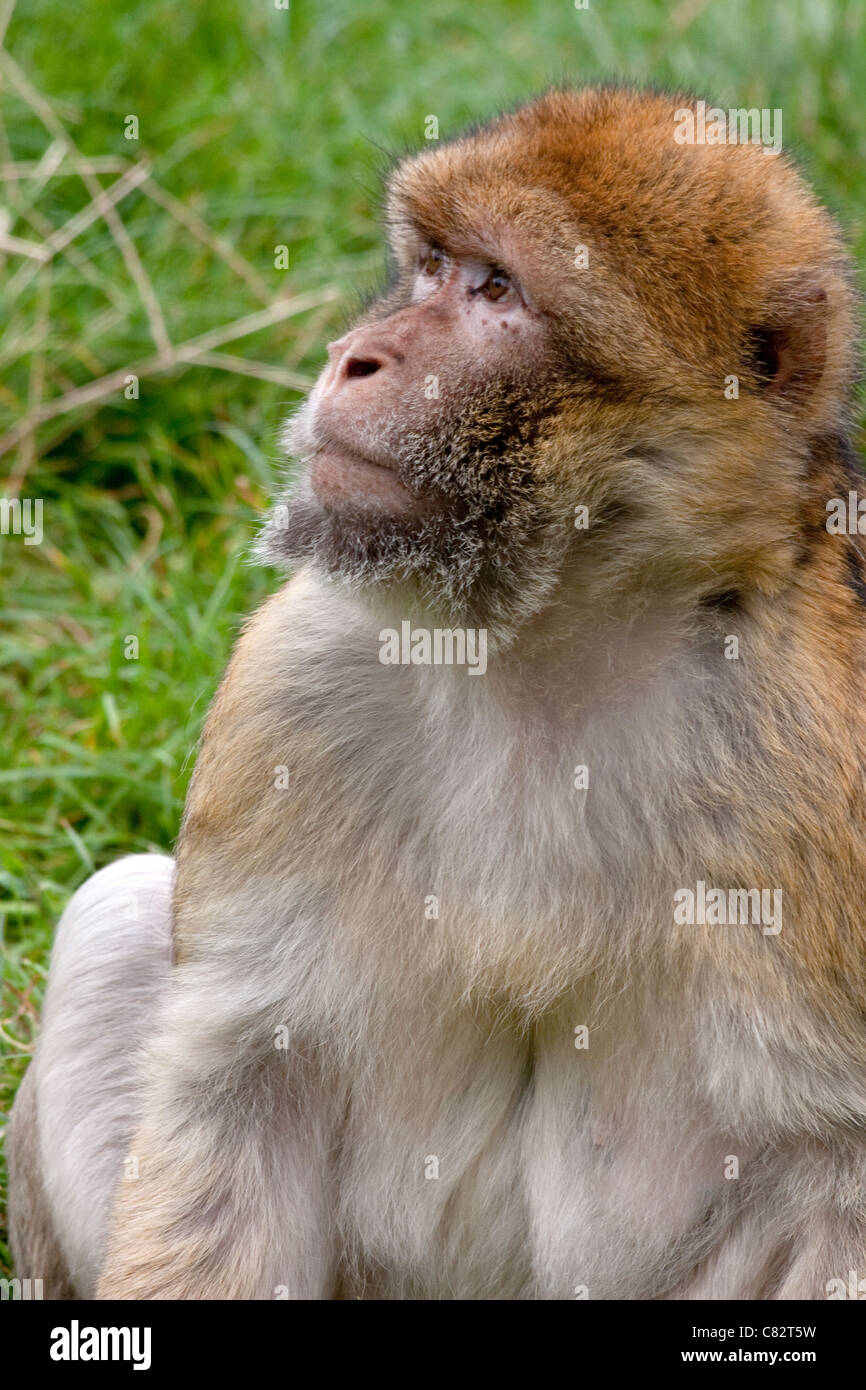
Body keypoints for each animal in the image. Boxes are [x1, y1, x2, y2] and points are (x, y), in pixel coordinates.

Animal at [8, 84, 866, 1300]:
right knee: (114, 909)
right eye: (430, 265)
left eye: (497, 288)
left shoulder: (814, 758)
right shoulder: (292, 688)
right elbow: (238, 1093)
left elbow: (834, 1175)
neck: (537, 648)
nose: (355, 356)